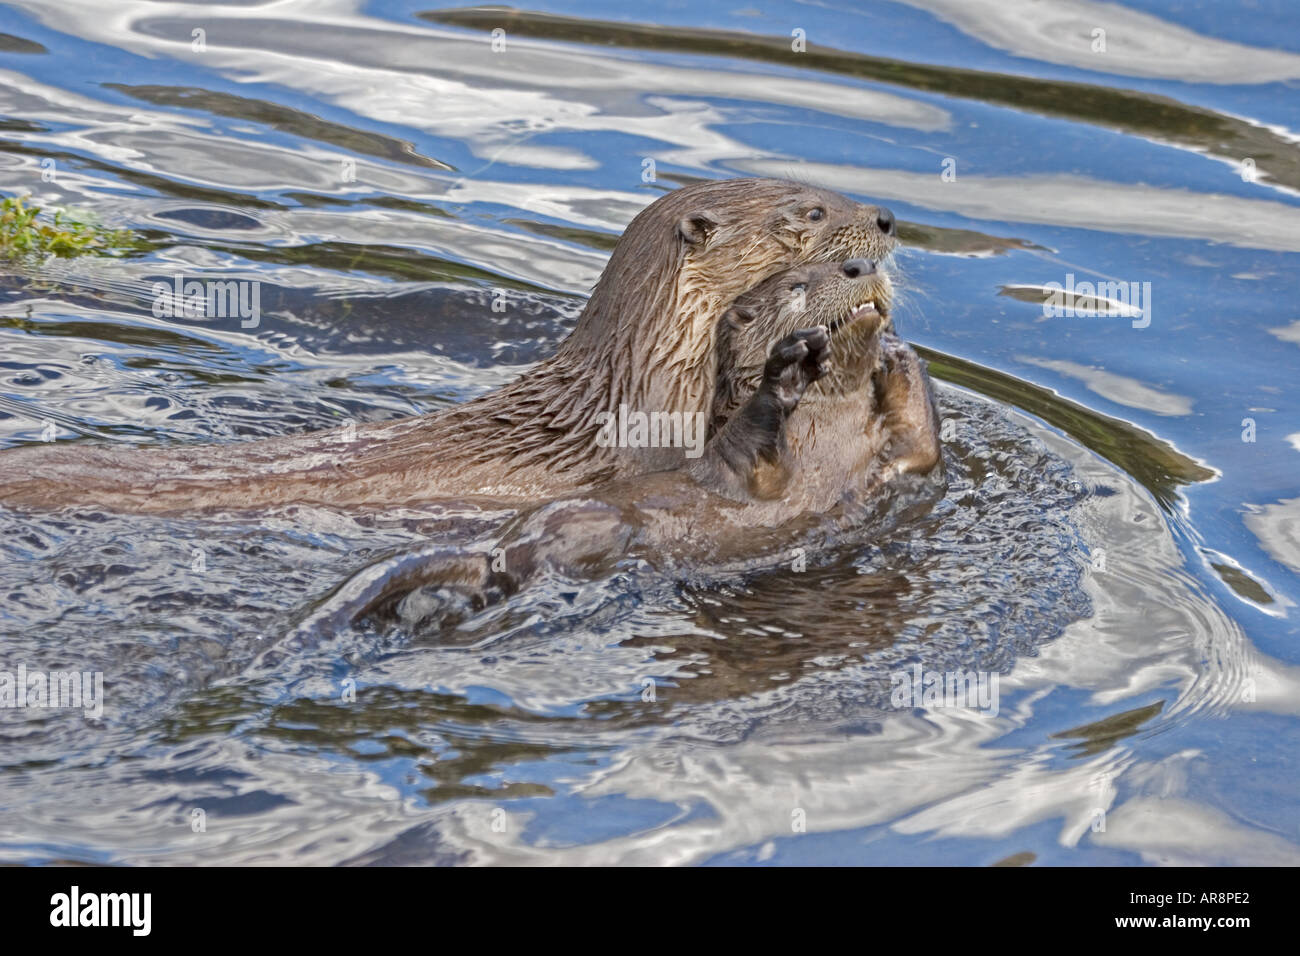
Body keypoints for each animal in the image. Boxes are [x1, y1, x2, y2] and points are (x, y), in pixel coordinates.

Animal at [288, 258, 944, 639]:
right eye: (798, 285)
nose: (860, 265)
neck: (827, 440)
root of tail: (505, 545)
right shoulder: (739, 465)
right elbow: (748, 446)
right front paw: (785, 371)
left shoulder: (889, 470)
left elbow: (920, 446)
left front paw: (900, 354)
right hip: (584, 521)